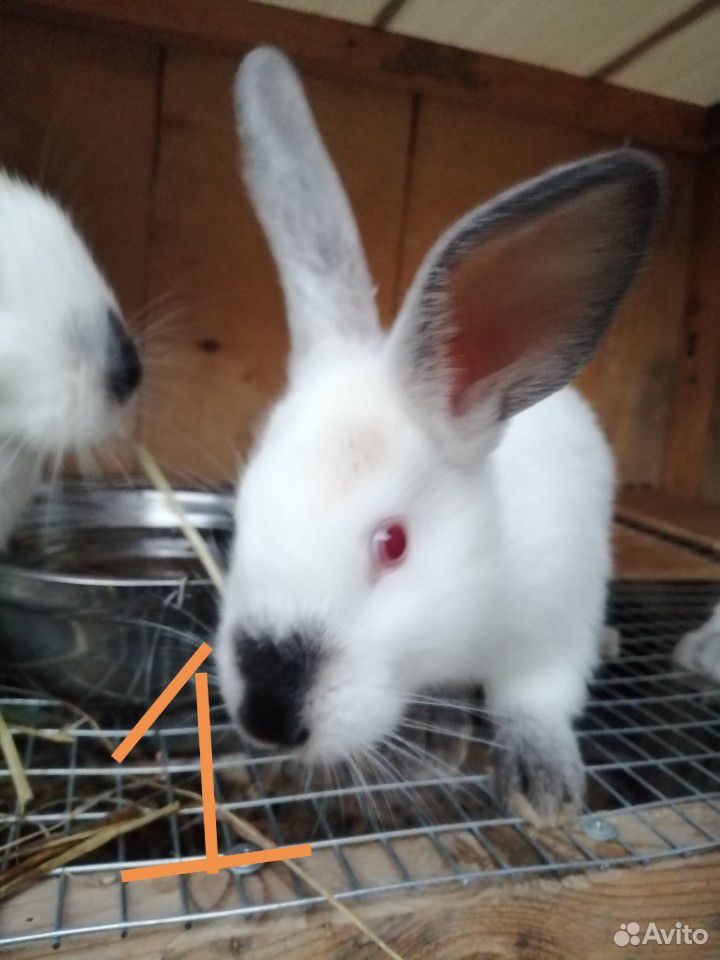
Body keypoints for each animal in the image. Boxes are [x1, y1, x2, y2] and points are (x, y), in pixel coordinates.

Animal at [215, 47, 666, 823]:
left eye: (394, 544)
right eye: (240, 518)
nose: (268, 715)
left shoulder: (557, 613)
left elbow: (537, 698)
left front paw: (542, 784)